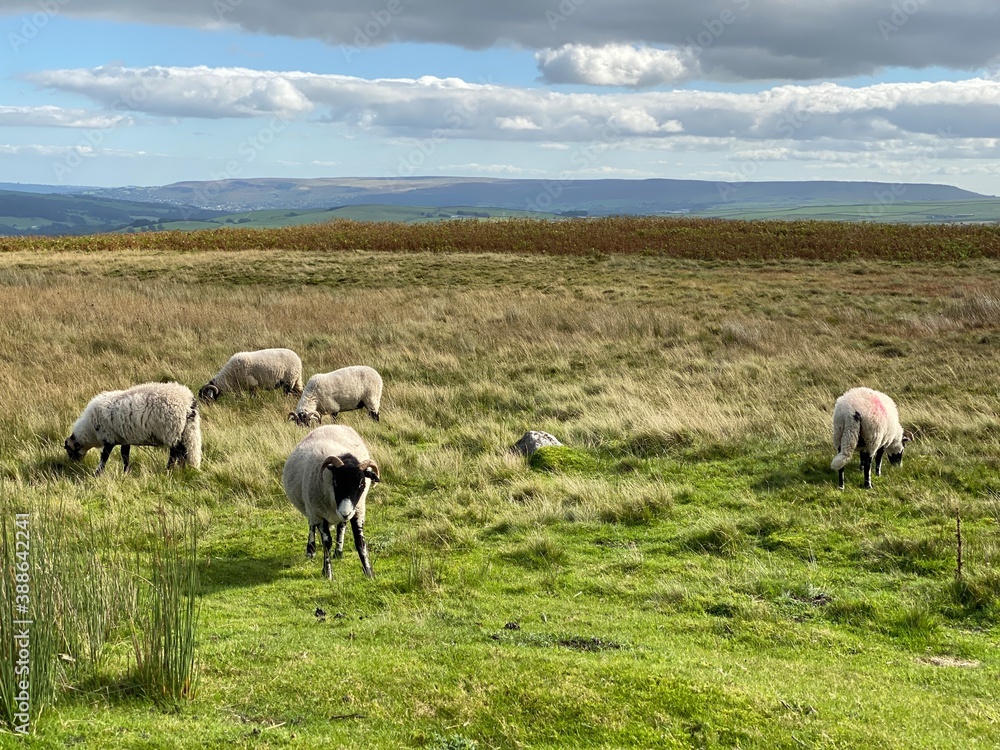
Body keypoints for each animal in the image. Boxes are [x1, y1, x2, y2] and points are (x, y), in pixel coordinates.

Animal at [64, 382, 202, 475]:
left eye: (70, 450)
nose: (72, 464)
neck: (90, 430)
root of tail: (188, 402)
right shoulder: (124, 439)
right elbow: (125, 455)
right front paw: (126, 472)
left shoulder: (108, 438)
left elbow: (104, 458)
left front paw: (97, 473)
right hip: (183, 431)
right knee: (183, 451)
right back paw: (181, 470)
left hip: (172, 431)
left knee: (175, 453)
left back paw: (168, 470)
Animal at [282, 424, 381, 579]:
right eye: (335, 482)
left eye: (361, 484)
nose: (345, 512)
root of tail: (331, 425)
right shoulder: (319, 513)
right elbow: (326, 543)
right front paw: (327, 572)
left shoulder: (358, 511)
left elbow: (360, 542)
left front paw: (369, 572)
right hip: (310, 507)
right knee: (311, 524)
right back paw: (310, 550)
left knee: (341, 526)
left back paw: (339, 552)